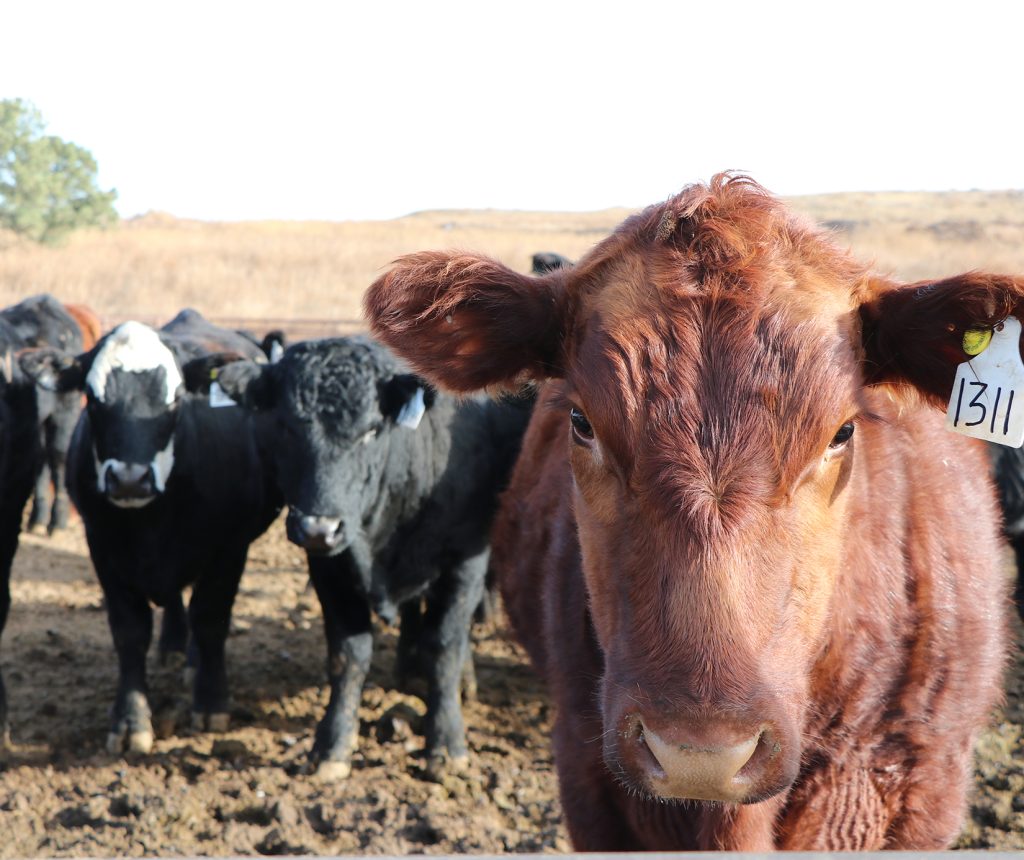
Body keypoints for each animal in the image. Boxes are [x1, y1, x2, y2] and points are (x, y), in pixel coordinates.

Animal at [20, 311, 282, 753]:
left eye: (175, 399)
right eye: (94, 399)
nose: (129, 479)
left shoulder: (230, 549)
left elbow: (211, 620)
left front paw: (211, 702)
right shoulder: (102, 548)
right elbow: (130, 633)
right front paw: (130, 721)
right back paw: (173, 647)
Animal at [212, 336, 532, 779]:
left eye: (369, 432)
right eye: (286, 427)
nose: (318, 527)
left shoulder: (465, 559)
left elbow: (445, 647)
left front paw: (446, 743)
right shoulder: (330, 569)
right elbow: (348, 656)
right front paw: (332, 746)